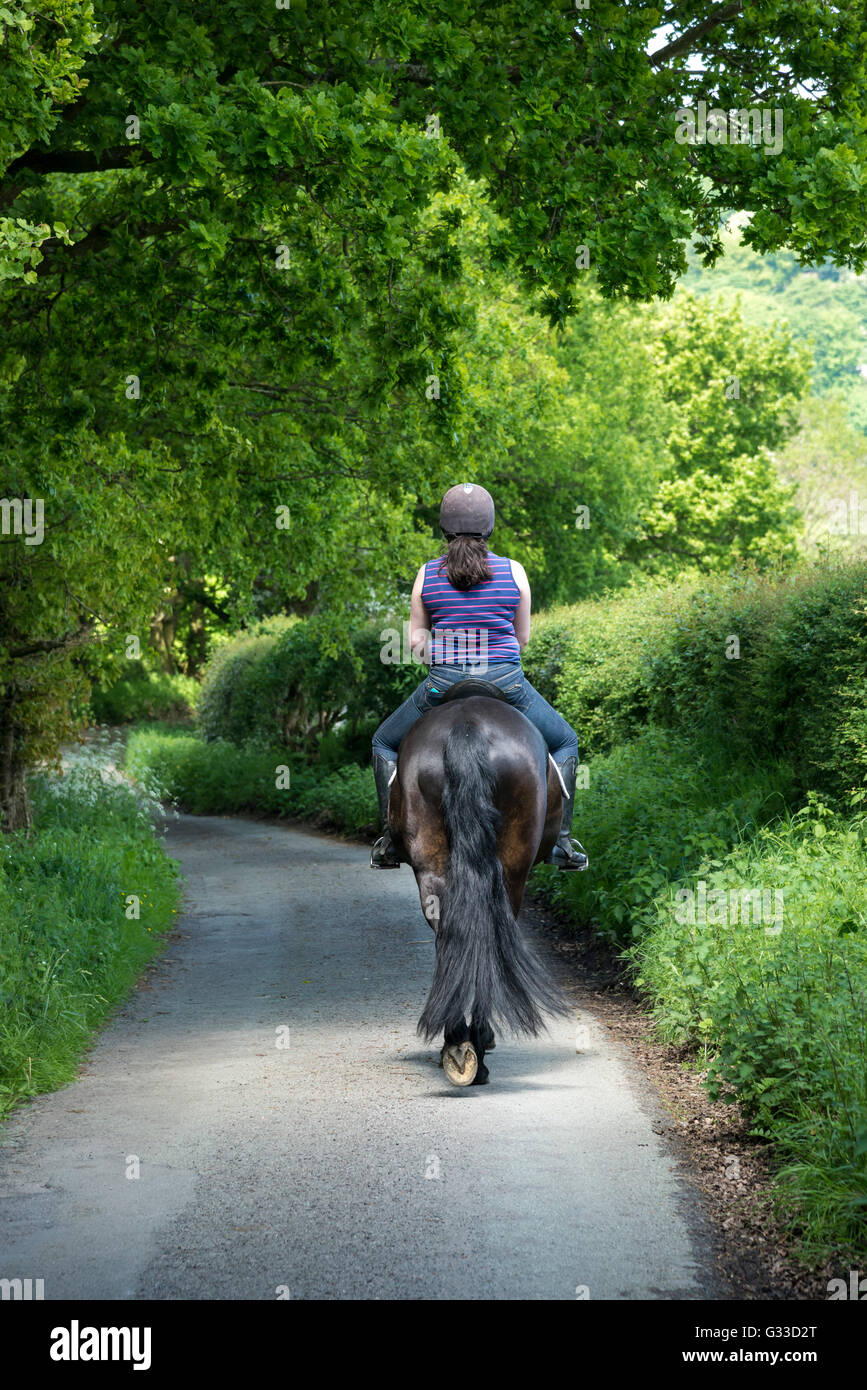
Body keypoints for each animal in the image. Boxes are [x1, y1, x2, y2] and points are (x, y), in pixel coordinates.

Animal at [387, 679, 574, 1086]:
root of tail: (467, 724)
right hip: (512, 869)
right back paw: (476, 1049)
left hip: (432, 863)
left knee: (450, 931)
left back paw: (457, 1044)